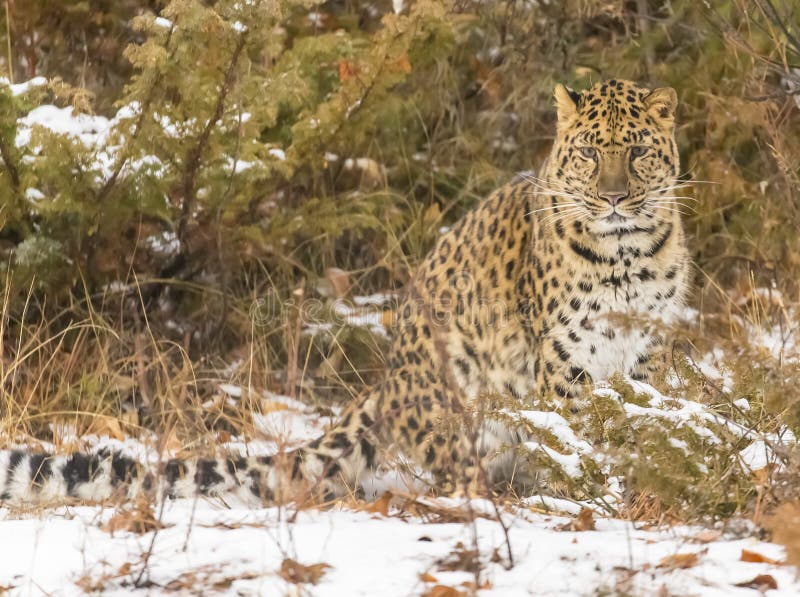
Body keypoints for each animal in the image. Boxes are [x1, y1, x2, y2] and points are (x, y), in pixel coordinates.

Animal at [0, 79, 689, 505]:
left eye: (636, 151)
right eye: (590, 154)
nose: (614, 197)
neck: (625, 255)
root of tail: (390, 379)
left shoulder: (647, 356)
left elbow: (645, 429)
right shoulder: (566, 363)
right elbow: (576, 440)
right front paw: (591, 493)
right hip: (465, 393)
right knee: (459, 472)